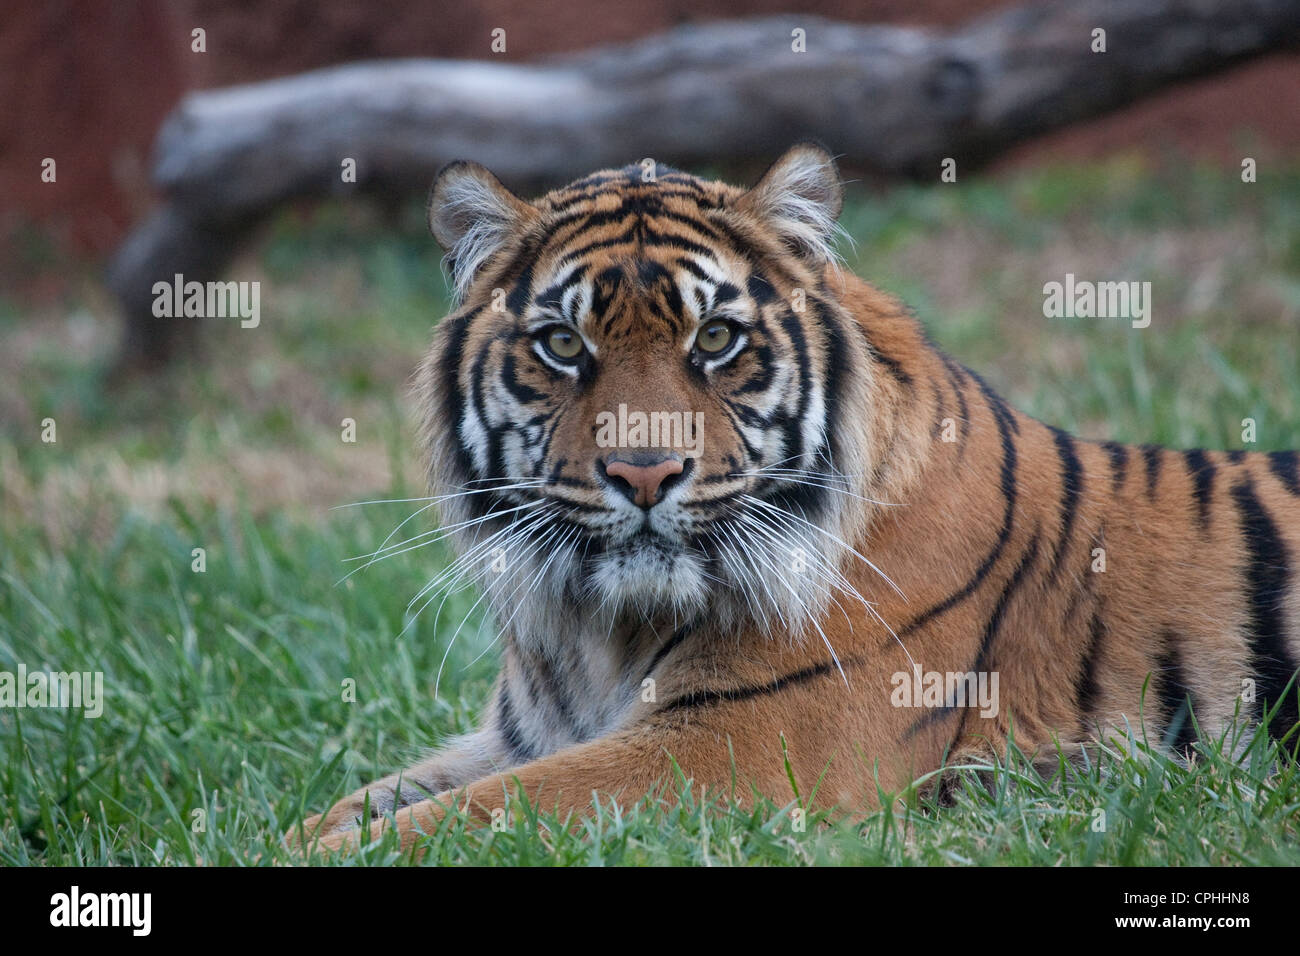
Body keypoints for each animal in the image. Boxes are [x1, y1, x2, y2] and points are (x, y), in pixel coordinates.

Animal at [292, 142, 1300, 854]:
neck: (597, 634)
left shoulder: (744, 741)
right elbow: (347, 805)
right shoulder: (522, 736)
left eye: (717, 339)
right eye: (564, 346)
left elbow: (463, 819)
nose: (644, 473)